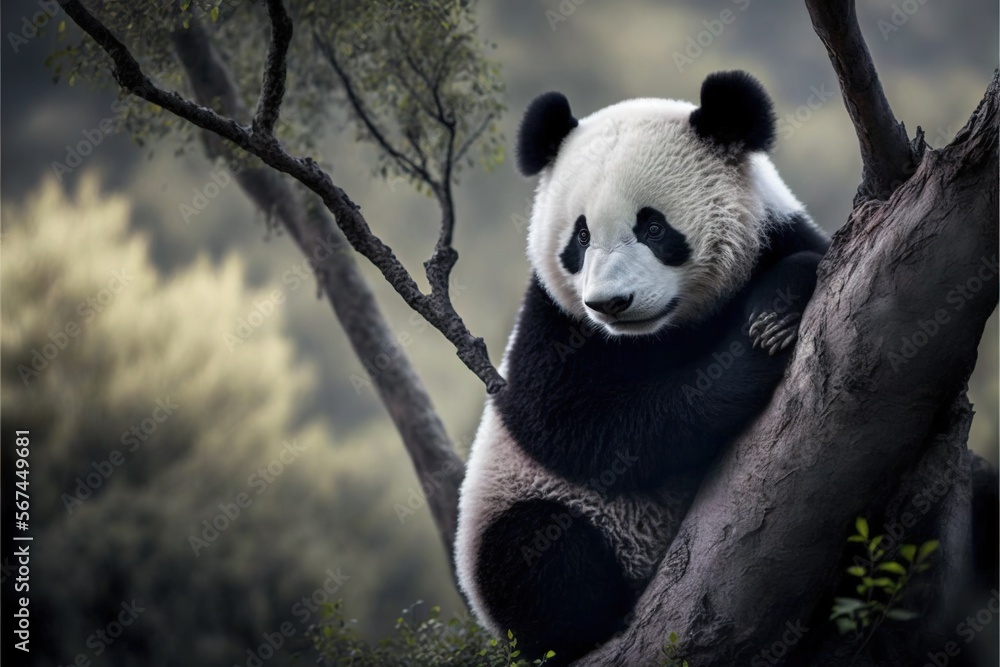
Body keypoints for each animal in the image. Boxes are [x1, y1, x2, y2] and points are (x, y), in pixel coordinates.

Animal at [455, 70, 831, 664]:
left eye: (653, 228)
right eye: (580, 236)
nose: (611, 302)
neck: (658, 333)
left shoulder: (776, 235)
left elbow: (809, 257)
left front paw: (777, 309)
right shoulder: (556, 324)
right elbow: (578, 427)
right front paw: (750, 353)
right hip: (506, 518)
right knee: (536, 548)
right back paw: (596, 621)